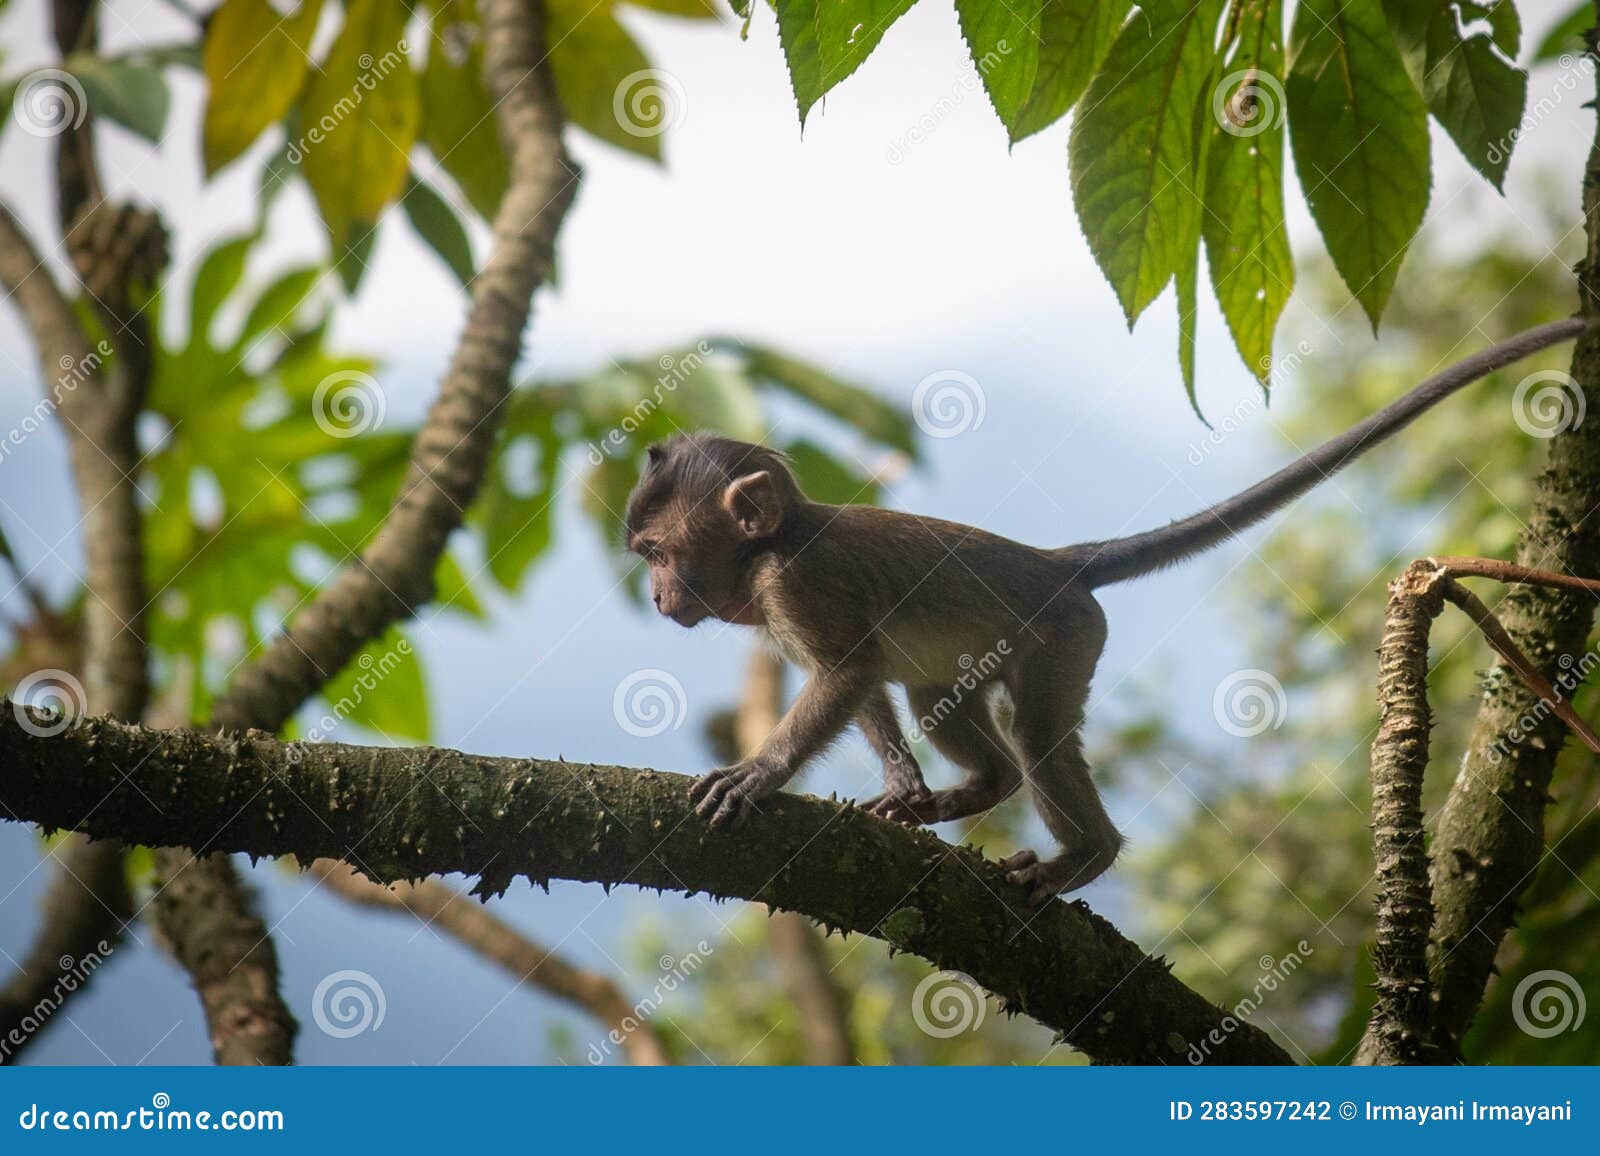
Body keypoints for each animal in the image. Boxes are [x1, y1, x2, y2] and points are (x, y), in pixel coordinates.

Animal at [622, 317, 1589, 903]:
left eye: (658, 553)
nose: (659, 596)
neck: (769, 549)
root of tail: (1054, 563)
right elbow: (862, 685)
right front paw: (905, 787)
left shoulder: (795, 586)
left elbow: (848, 670)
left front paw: (759, 773)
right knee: (954, 704)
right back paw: (980, 788)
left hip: (1065, 638)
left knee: (1038, 732)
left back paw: (1085, 856)